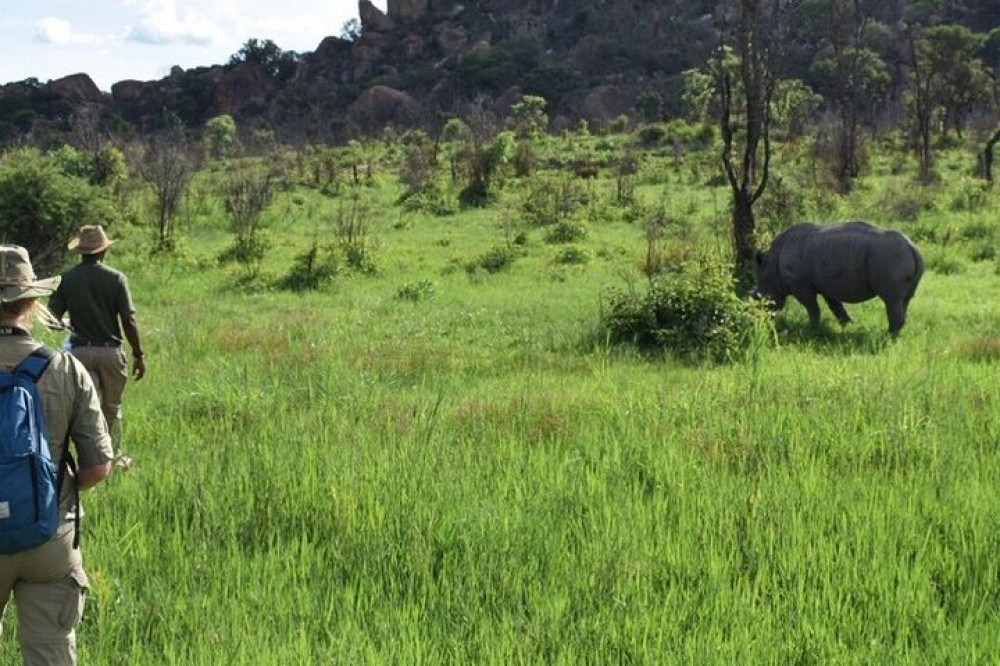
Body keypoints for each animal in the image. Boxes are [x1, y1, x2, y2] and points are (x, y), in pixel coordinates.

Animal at [752, 221, 924, 336]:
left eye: (759, 298)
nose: (761, 321)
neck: (770, 269)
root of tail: (912, 248)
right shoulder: (826, 284)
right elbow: (836, 306)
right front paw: (848, 326)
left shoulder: (801, 285)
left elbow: (813, 308)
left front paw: (812, 331)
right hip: (901, 257)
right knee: (904, 300)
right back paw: (896, 335)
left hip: (891, 257)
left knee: (891, 299)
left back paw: (888, 337)